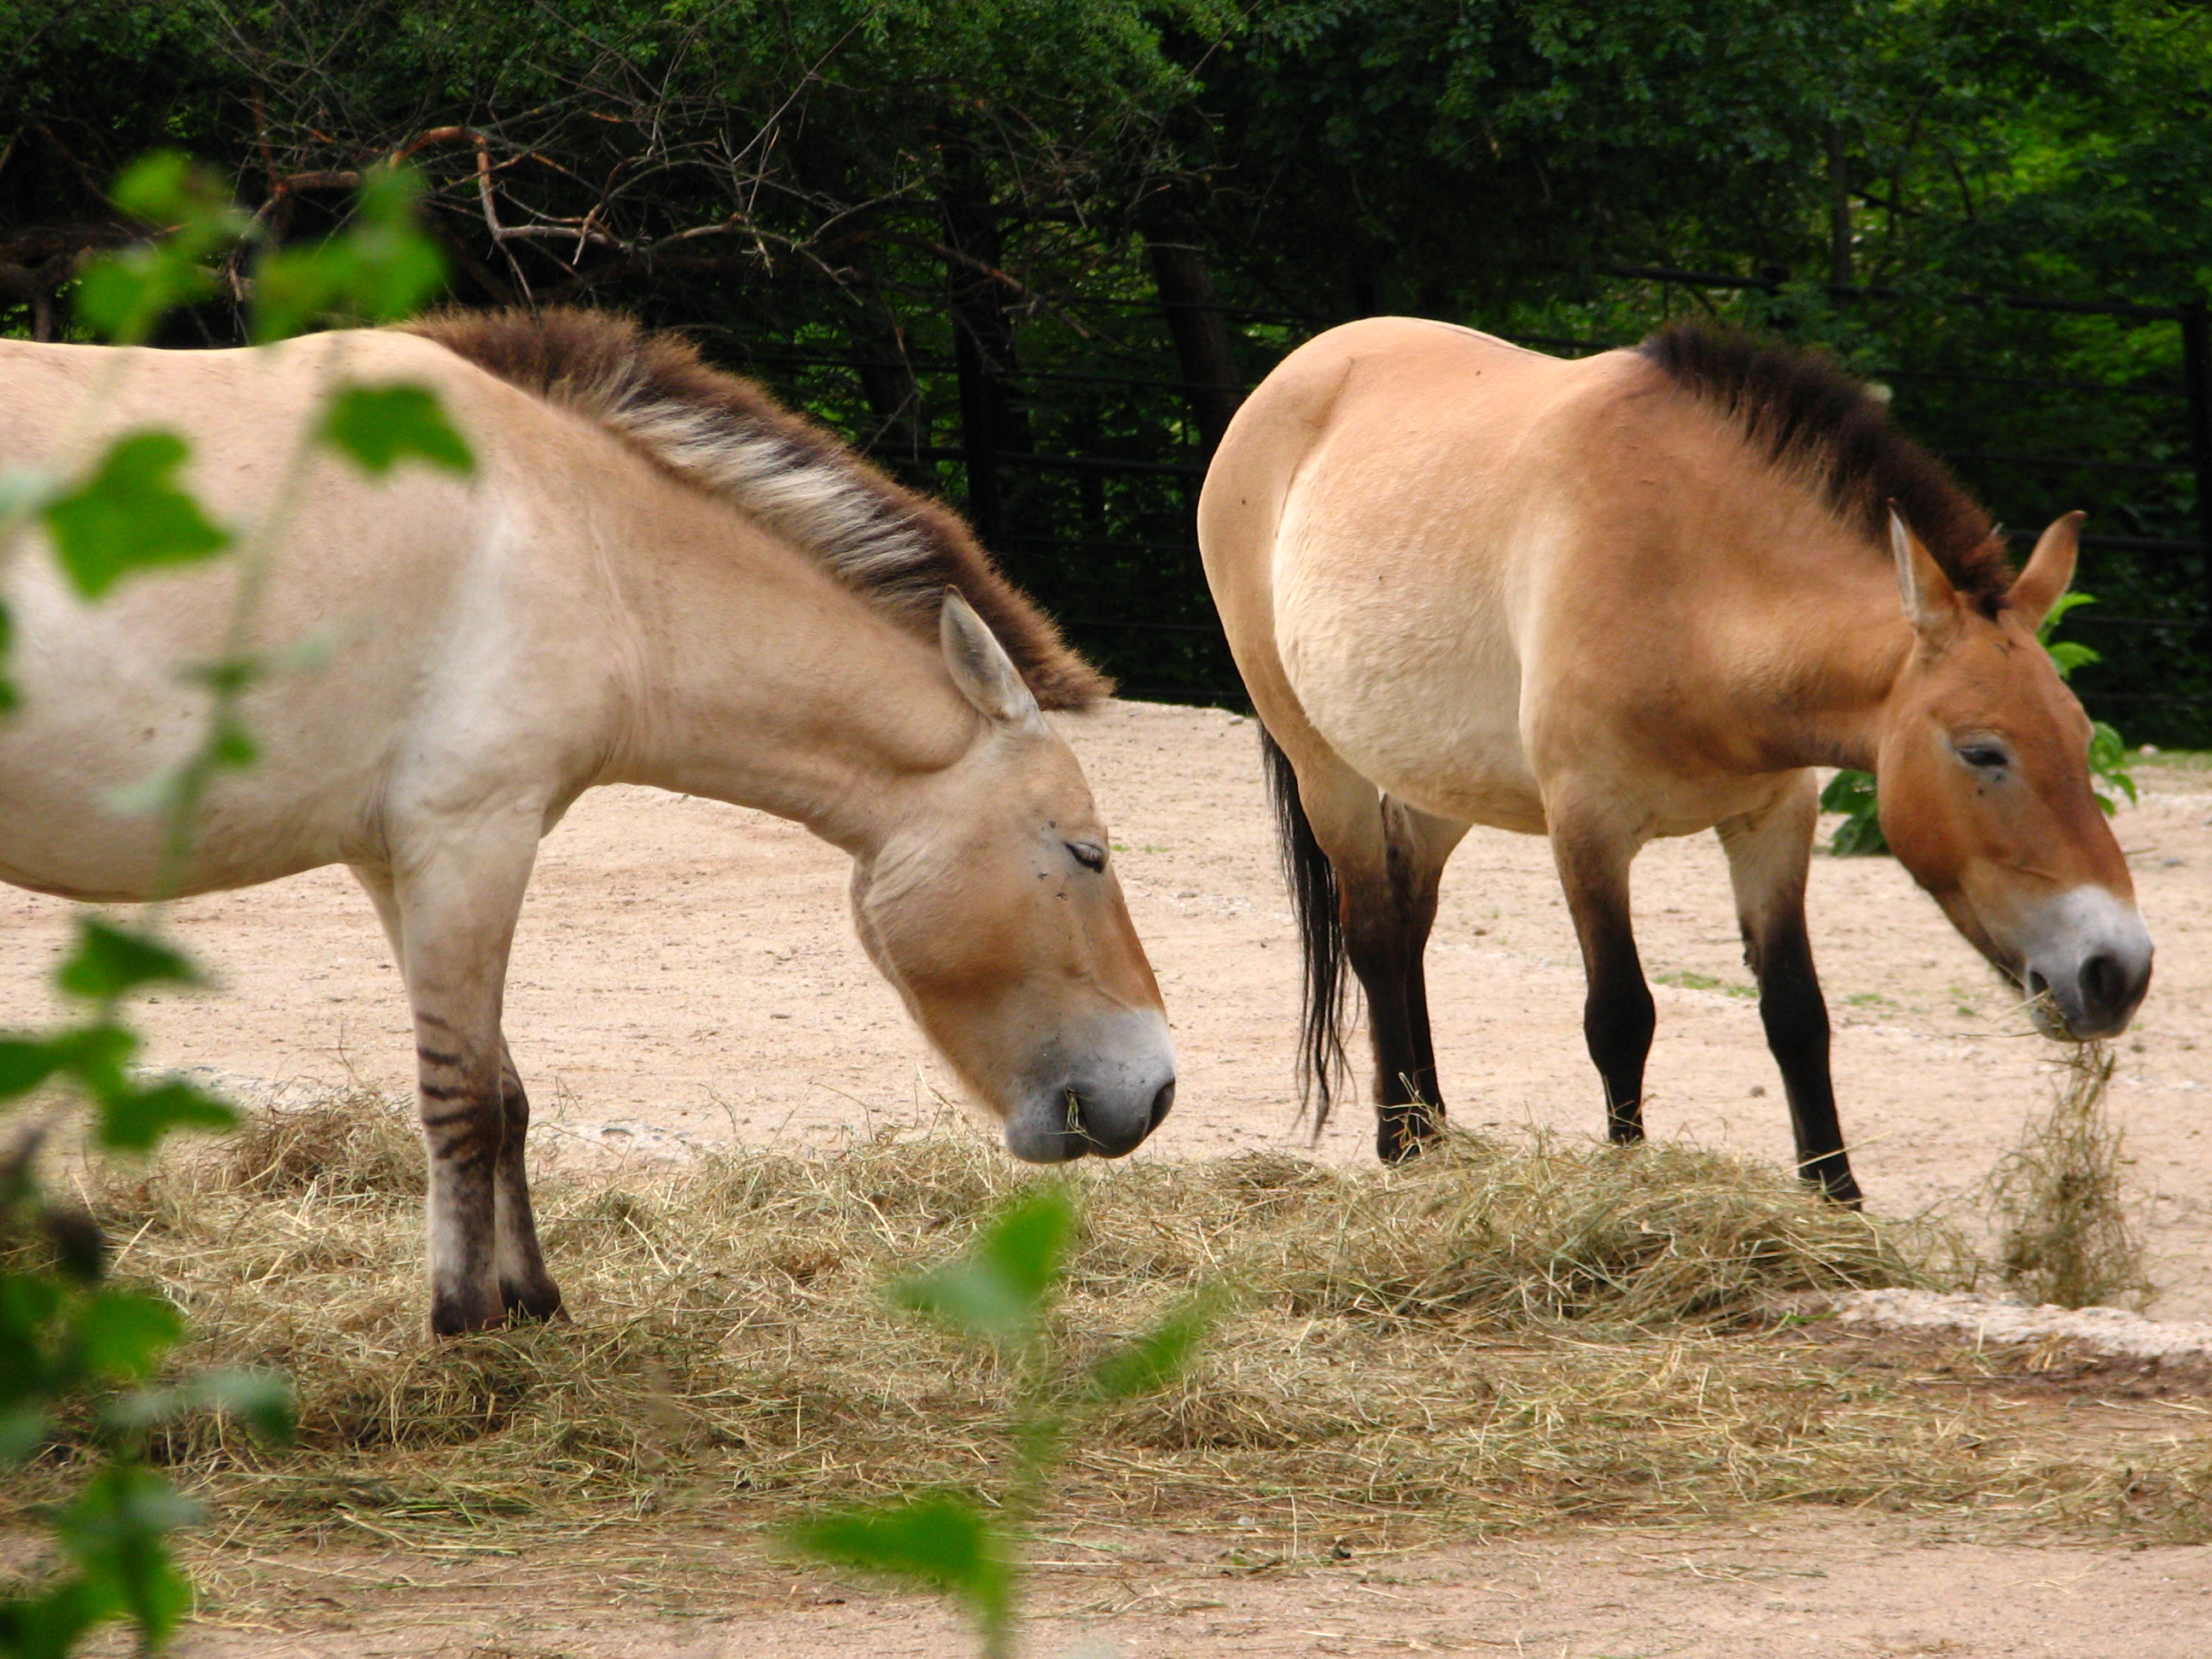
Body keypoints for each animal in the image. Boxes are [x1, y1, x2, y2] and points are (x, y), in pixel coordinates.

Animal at [0, 308, 1175, 1334]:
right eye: (1086, 853)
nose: (1158, 1089)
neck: (583, 535)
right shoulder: (473, 839)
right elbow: (465, 1103)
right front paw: (465, 1330)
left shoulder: (398, 861)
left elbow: (507, 1098)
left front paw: (532, 1305)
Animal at [1198, 316, 2151, 1201]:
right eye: (1983, 751)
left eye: (2079, 738)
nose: (2118, 971)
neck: (1694, 582)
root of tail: (1290, 379)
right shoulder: (1587, 826)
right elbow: (1621, 1017)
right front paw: (1629, 1181)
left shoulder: (1775, 820)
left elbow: (1796, 1011)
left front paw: (1836, 1198)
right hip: (1326, 768)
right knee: (1373, 930)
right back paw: (1399, 1140)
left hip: (1435, 783)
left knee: (1411, 923)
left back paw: (1432, 1130)